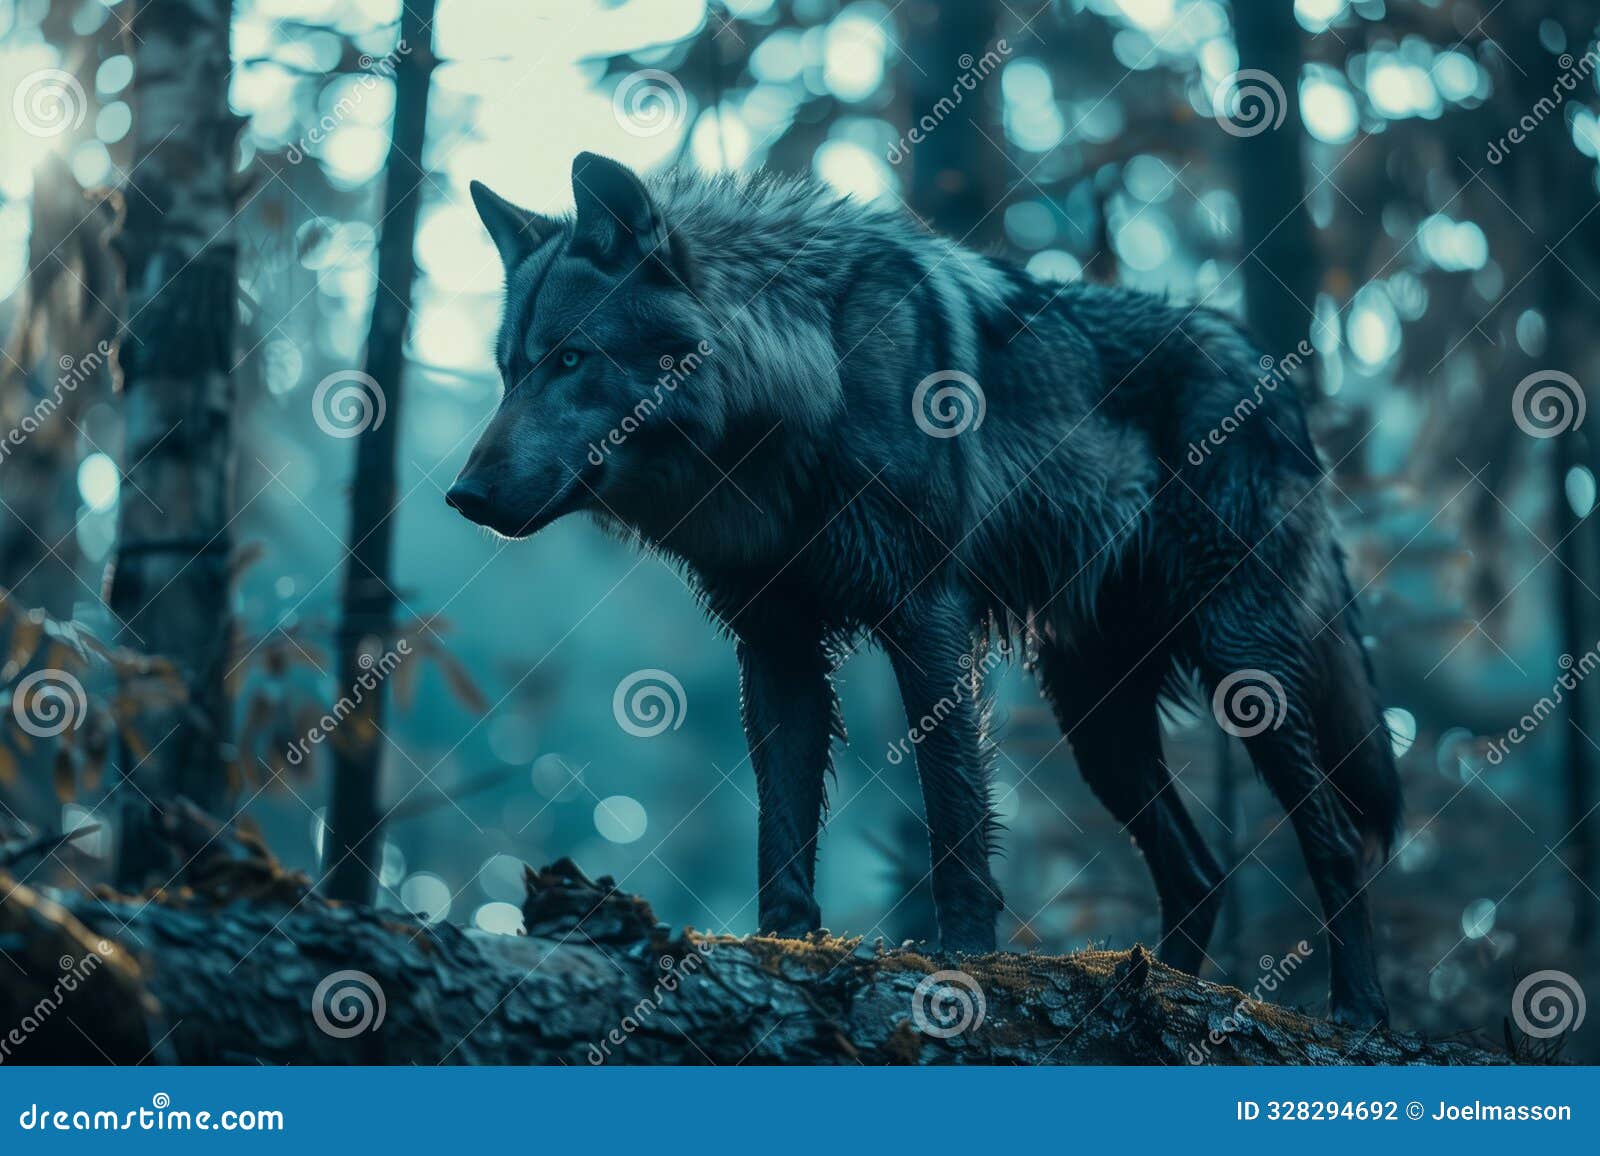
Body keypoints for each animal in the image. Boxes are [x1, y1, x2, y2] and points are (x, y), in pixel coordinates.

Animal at [449, 151, 1401, 1026]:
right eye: (508, 371)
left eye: (572, 358)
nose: (463, 497)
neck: (805, 388)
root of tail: (1267, 371)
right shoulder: (778, 648)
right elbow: (782, 827)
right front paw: (783, 947)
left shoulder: (926, 618)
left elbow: (953, 809)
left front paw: (966, 958)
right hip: (1095, 720)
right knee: (1199, 872)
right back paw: (1164, 994)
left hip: (1241, 672)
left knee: (1339, 841)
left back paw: (1357, 1012)